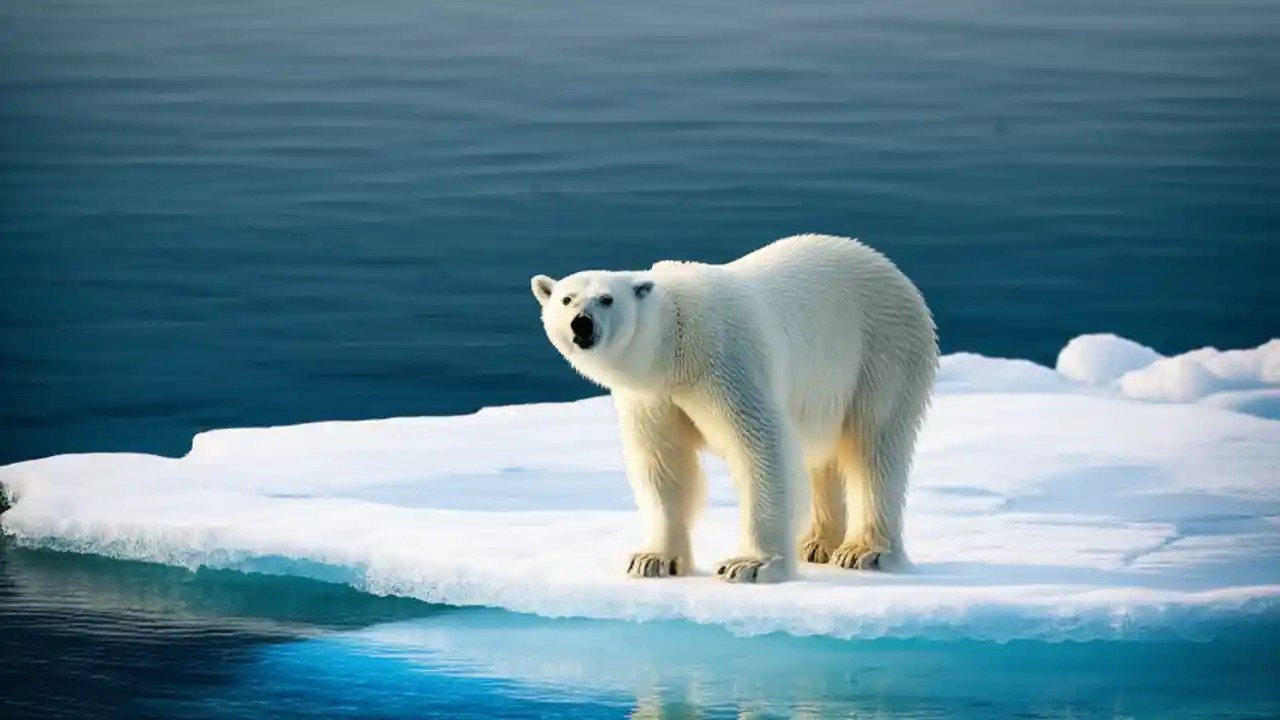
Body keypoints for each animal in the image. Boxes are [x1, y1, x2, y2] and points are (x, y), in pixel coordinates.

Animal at [531, 234, 937, 583]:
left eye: (606, 299)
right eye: (566, 299)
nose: (581, 324)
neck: (676, 347)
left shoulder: (727, 364)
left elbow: (761, 449)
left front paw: (748, 565)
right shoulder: (652, 396)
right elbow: (663, 464)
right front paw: (652, 559)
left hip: (881, 350)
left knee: (873, 446)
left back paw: (862, 551)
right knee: (822, 457)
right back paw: (815, 544)